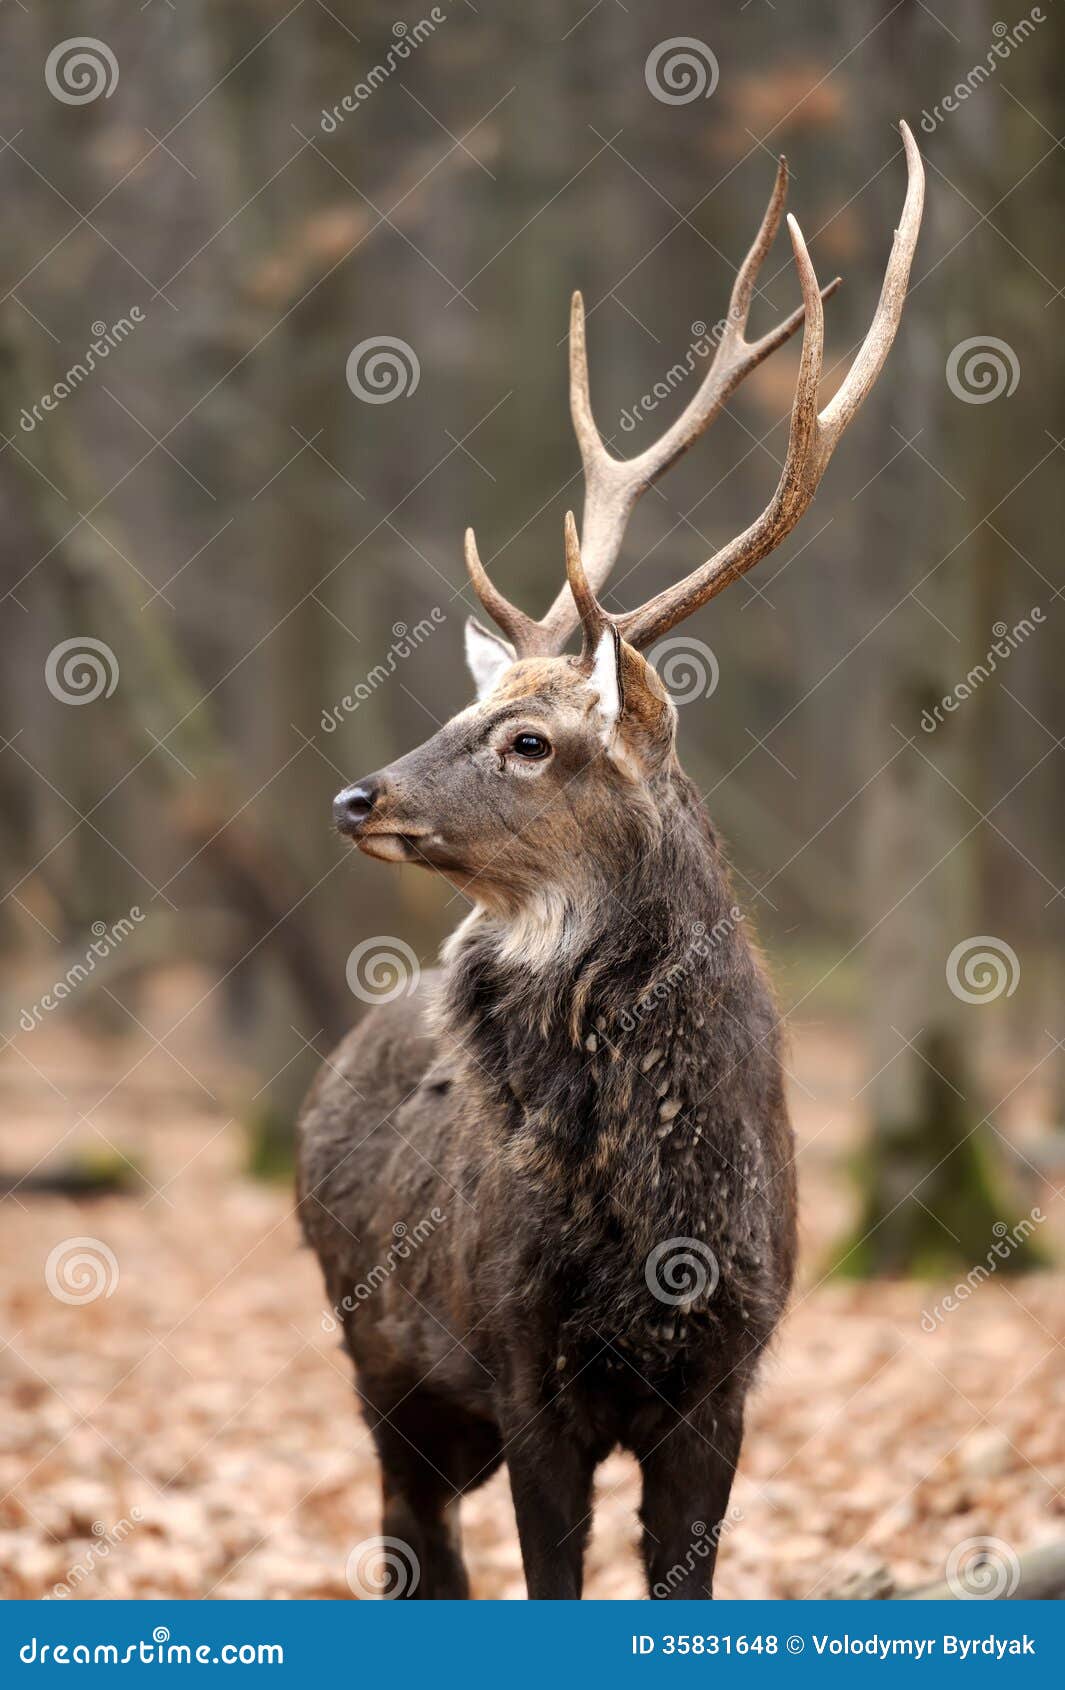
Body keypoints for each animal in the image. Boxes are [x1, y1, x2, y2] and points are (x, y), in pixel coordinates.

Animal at [297, 125, 924, 1600]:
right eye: (469, 712)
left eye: (529, 739)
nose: (358, 792)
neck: (656, 1218)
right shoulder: (524, 1366)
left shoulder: (728, 1377)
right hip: (378, 1362)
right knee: (414, 1551)